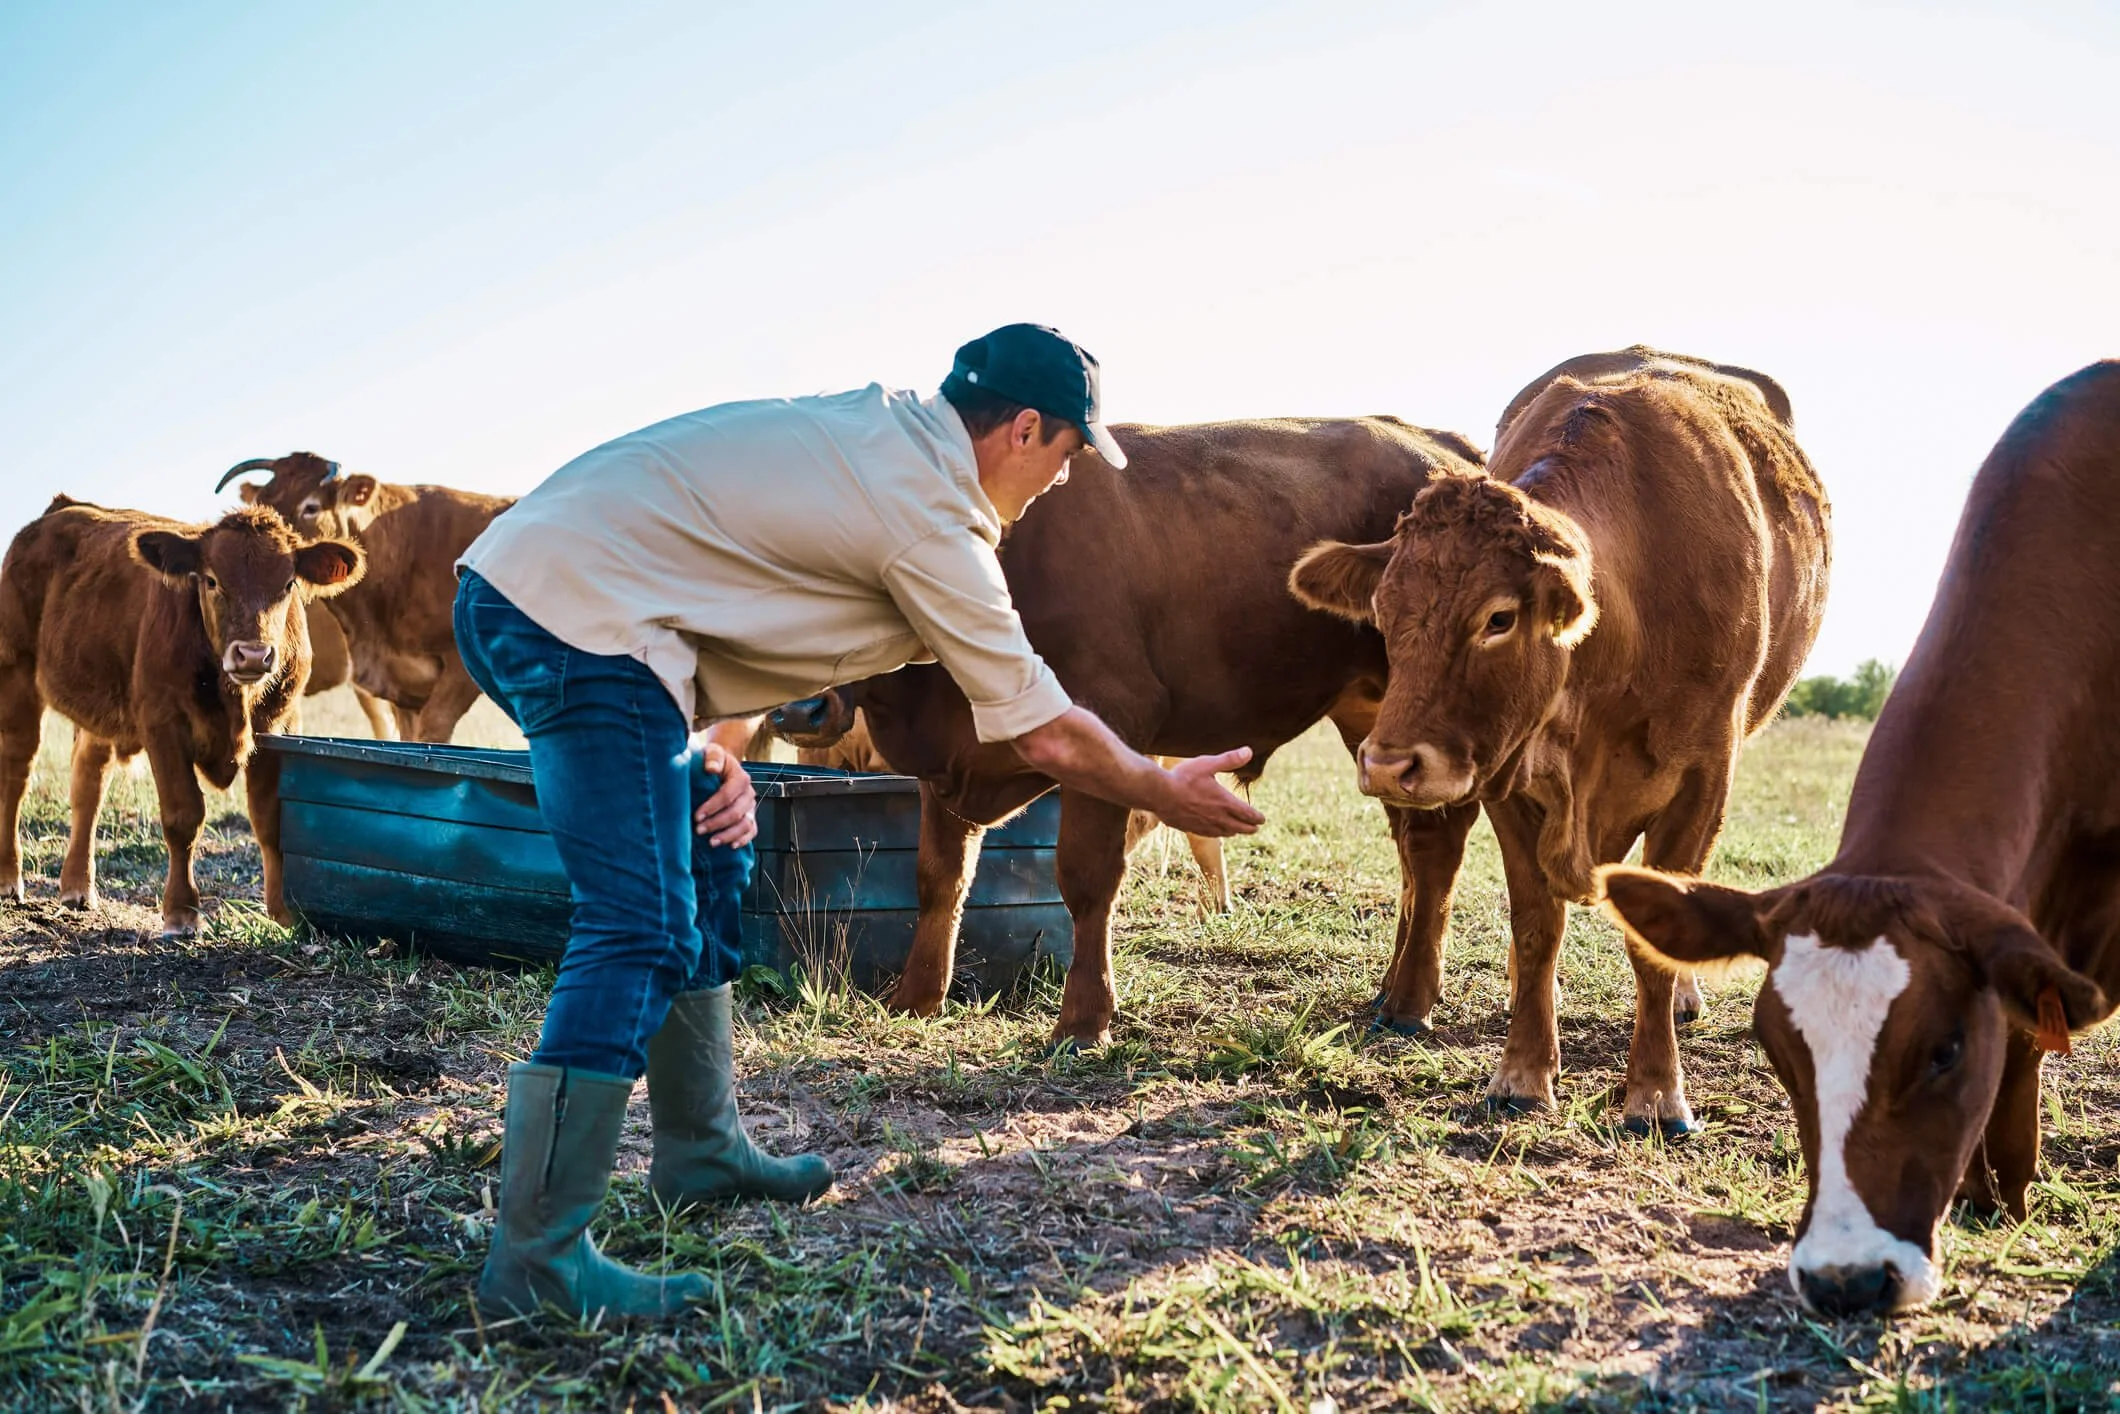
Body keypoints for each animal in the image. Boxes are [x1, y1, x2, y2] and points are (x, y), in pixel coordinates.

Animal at [0, 498, 364, 935]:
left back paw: (77, 887)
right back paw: (9, 878)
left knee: (88, 782)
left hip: (98, 706)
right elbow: (183, 816)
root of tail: (62, 508)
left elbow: (270, 818)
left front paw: (282, 912)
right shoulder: (164, 724)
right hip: (16, 673)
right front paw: (181, 911)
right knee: (16, 774)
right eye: (211, 580)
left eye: (289, 584)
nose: (253, 655)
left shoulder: (280, 726)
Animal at [1288, 351, 1831, 1138]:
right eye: (1384, 612)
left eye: (1499, 618)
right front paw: (1522, 1074)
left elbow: (1654, 943)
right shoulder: (1510, 777)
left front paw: (1656, 1095)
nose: (1390, 765)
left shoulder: (1703, 779)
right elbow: (1537, 923)